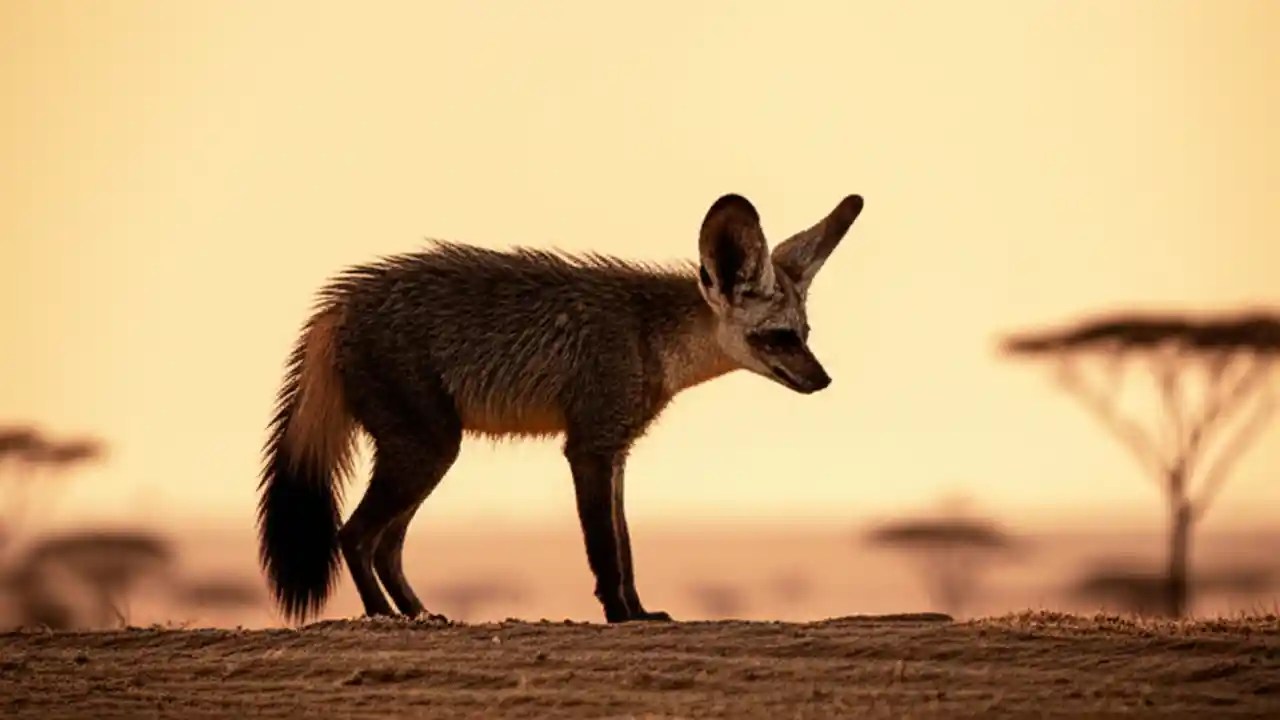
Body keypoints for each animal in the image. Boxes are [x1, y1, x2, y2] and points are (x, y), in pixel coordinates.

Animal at [256, 192, 864, 625]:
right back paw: (384, 618)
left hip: (423, 457)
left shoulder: (616, 452)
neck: (648, 334)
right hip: (428, 451)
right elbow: (605, 550)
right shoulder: (589, 449)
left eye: (805, 335)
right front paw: (620, 617)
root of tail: (339, 303)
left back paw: (420, 614)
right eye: (779, 338)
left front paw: (640, 612)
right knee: (354, 536)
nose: (824, 381)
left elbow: (625, 547)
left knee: (385, 545)